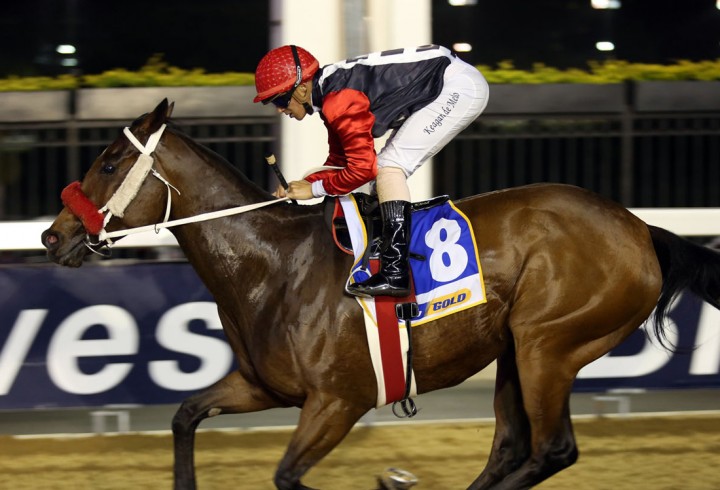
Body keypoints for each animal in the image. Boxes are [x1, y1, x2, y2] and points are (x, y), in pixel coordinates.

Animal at [41, 98, 720, 490]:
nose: (53, 235)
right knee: (512, 448)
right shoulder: (265, 386)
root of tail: (640, 229)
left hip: (548, 345)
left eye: (107, 163)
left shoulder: (339, 401)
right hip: (516, 351)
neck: (272, 266)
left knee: (552, 450)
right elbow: (184, 417)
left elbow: (286, 476)